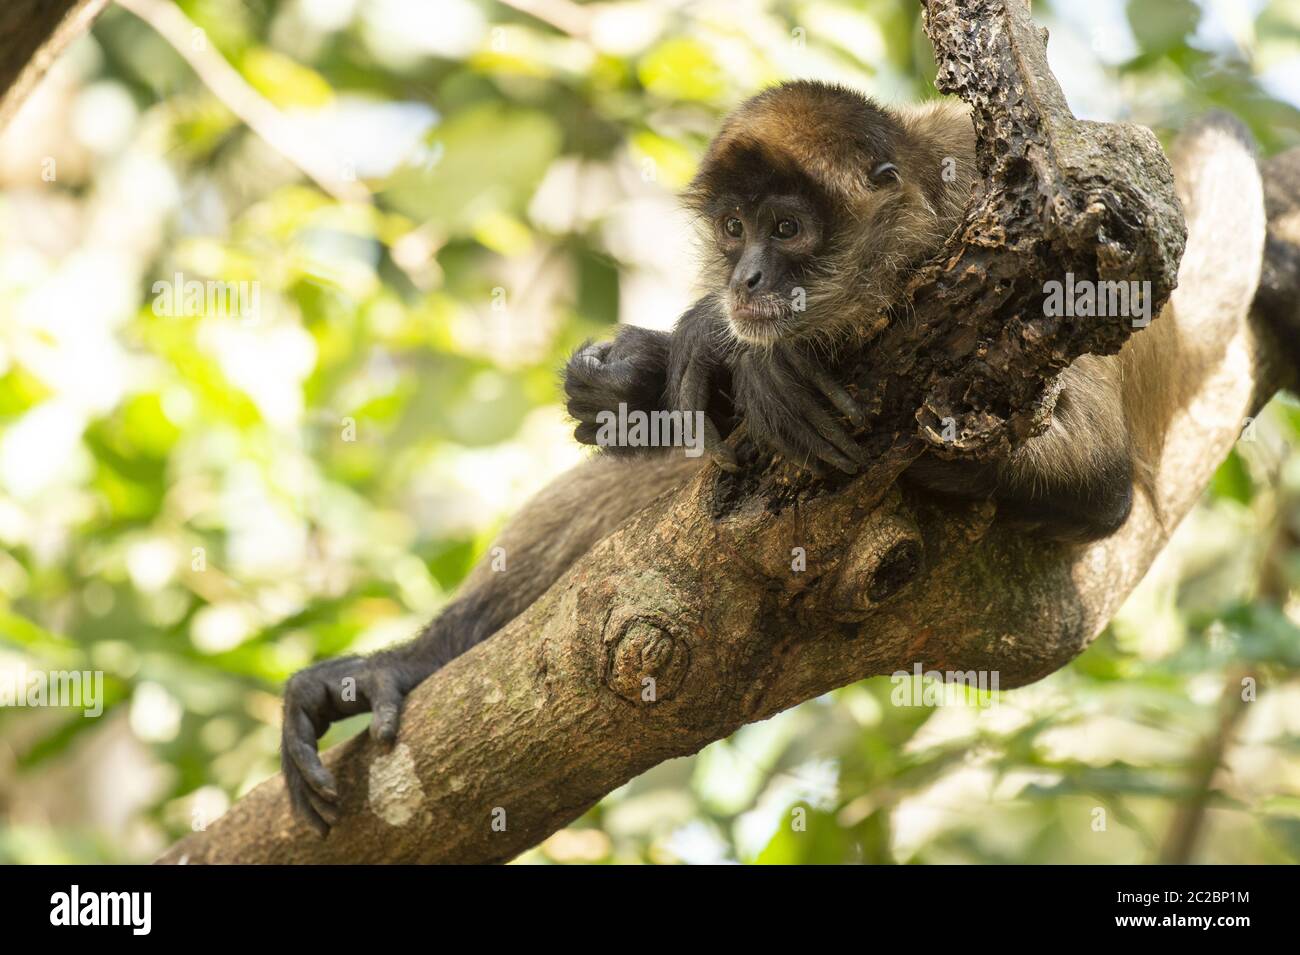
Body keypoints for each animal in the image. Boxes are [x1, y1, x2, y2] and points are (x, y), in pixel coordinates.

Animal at [280, 80, 1275, 835]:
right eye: (732, 229)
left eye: (786, 230)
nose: (745, 280)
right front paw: (661, 363)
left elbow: (1102, 488)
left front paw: (718, 354)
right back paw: (401, 667)